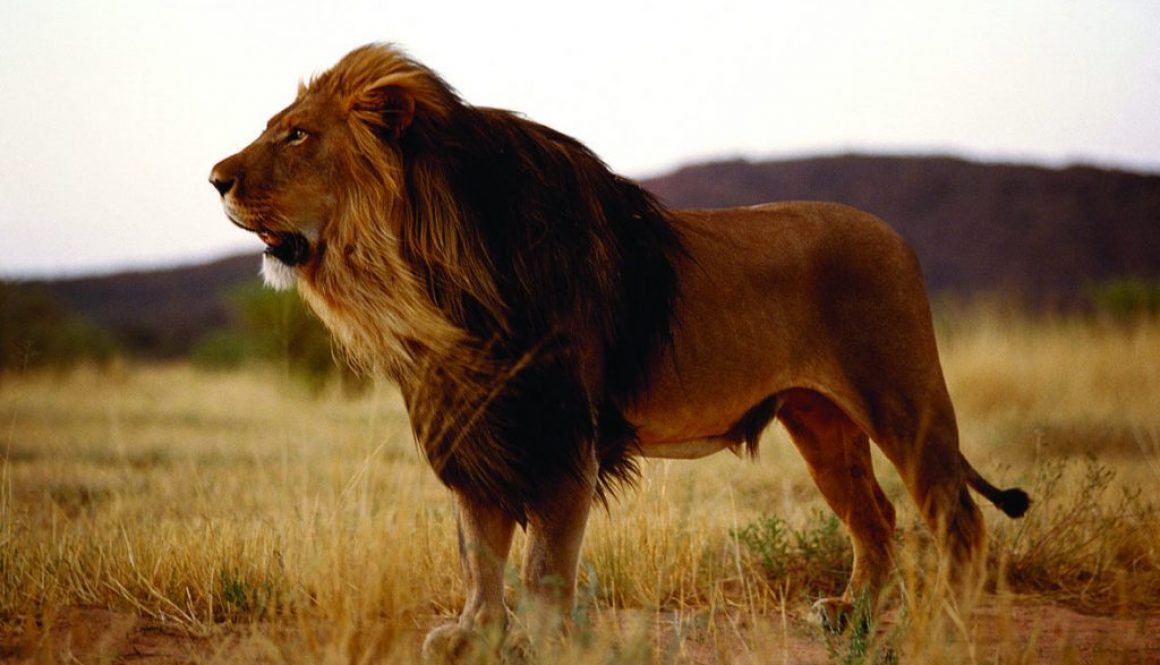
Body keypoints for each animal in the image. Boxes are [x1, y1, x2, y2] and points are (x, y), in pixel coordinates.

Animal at [210, 43, 1028, 654]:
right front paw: (474, 633)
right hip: (820, 422)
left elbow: (542, 562)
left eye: (296, 135)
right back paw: (850, 614)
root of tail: (897, 237)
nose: (215, 178)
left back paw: (942, 623)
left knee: (958, 519)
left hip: (904, 404)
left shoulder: (560, 434)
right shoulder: (478, 428)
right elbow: (478, 548)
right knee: (877, 516)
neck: (423, 270)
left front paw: (540, 641)